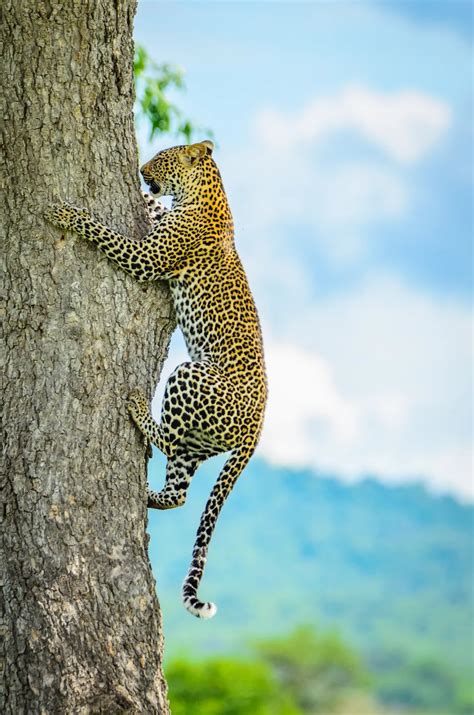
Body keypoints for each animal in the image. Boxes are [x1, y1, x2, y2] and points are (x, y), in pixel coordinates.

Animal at [44, 141, 266, 620]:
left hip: (189, 374)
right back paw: (147, 495)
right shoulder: (159, 228)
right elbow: (153, 209)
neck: (209, 192)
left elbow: (102, 230)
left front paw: (65, 212)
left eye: (162, 158)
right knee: (180, 490)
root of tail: (258, 428)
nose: (142, 169)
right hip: (202, 442)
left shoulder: (146, 258)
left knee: (169, 439)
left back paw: (135, 409)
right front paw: (145, 196)